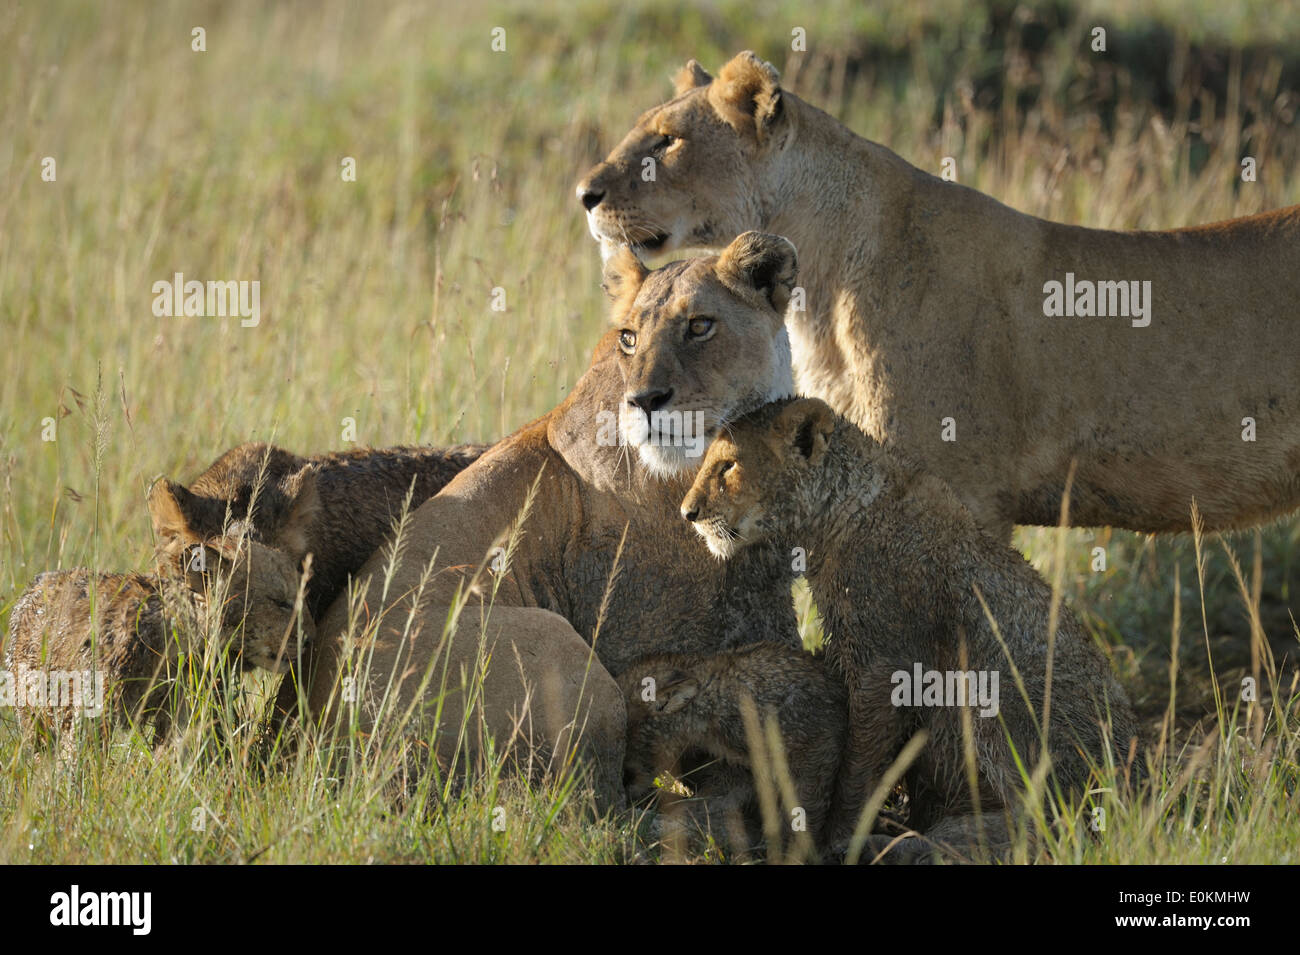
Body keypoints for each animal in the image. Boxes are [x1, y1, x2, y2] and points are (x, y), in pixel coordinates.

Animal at [295, 232, 805, 813]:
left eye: (700, 325)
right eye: (629, 338)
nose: (644, 401)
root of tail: (333, 751)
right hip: (563, 651)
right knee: (595, 807)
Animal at [680, 397, 1141, 861]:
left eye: (728, 466)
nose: (687, 513)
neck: (834, 517)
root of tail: (1140, 786)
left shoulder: (885, 663)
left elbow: (860, 765)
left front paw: (840, 839)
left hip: (1001, 687)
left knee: (1055, 827)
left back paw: (919, 845)